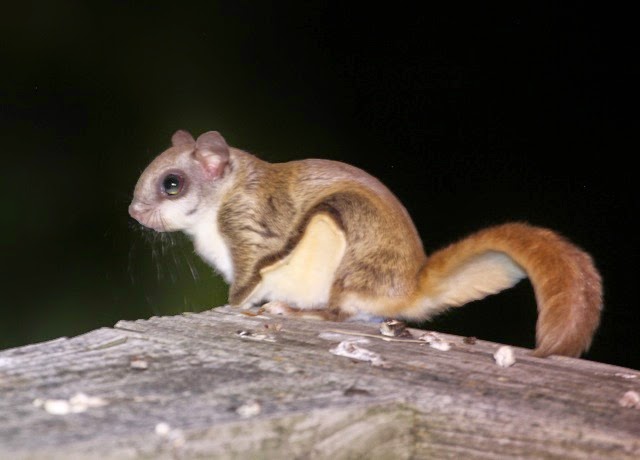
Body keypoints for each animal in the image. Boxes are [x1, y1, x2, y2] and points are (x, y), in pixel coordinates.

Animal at [129, 130, 602, 357]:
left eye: (172, 184)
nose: (134, 212)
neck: (222, 199)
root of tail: (409, 287)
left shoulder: (250, 227)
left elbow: (247, 282)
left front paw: (230, 307)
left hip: (345, 235)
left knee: (339, 313)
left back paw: (296, 312)